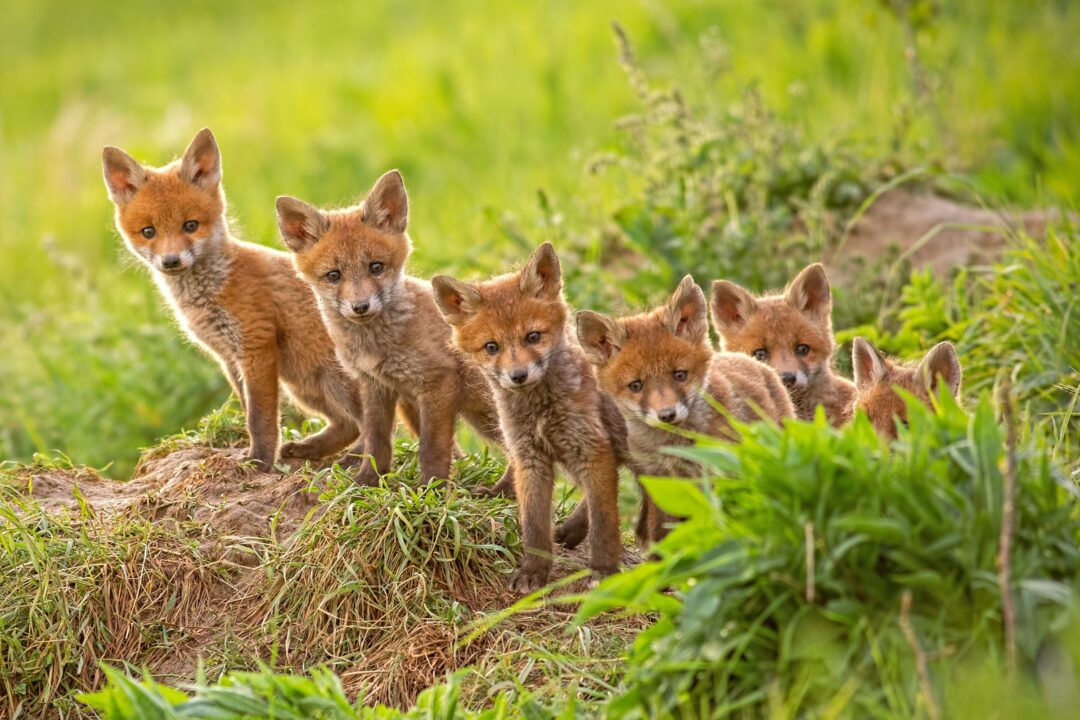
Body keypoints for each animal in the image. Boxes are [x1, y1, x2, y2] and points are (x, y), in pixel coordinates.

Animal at [101, 129, 367, 472]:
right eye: (148, 232)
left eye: (190, 225)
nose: (171, 261)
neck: (211, 293)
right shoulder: (229, 357)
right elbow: (248, 408)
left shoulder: (256, 344)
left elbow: (260, 417)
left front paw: (259, 463)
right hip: (306, 384)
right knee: (348, 425)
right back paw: (311, 450)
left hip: (331, 380)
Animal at [276, 170, 513, 492]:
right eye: (334, 276)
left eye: (376, 267)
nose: (360, 306)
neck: (377, 346)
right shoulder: (375, 386)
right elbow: (377, 443)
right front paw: (366, 482)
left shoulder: (438, 383)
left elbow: (432, 447)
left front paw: (431, 488)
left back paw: (503, 492)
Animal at [431, 242, 626, 593]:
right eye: (491, 346)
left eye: (533, 337)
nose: (518, 376)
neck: (540, 411)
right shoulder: (529, 457)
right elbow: (533, 524)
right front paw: (533, 571)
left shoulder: (593, 449)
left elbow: (605, 522)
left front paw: (604, 570)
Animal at [578, 275, 794, 545]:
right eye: (636, 386)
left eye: (679, 375)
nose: (666, 415)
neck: (674, 449)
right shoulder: (658, 480)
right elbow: (661, 532)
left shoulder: (714, 474)